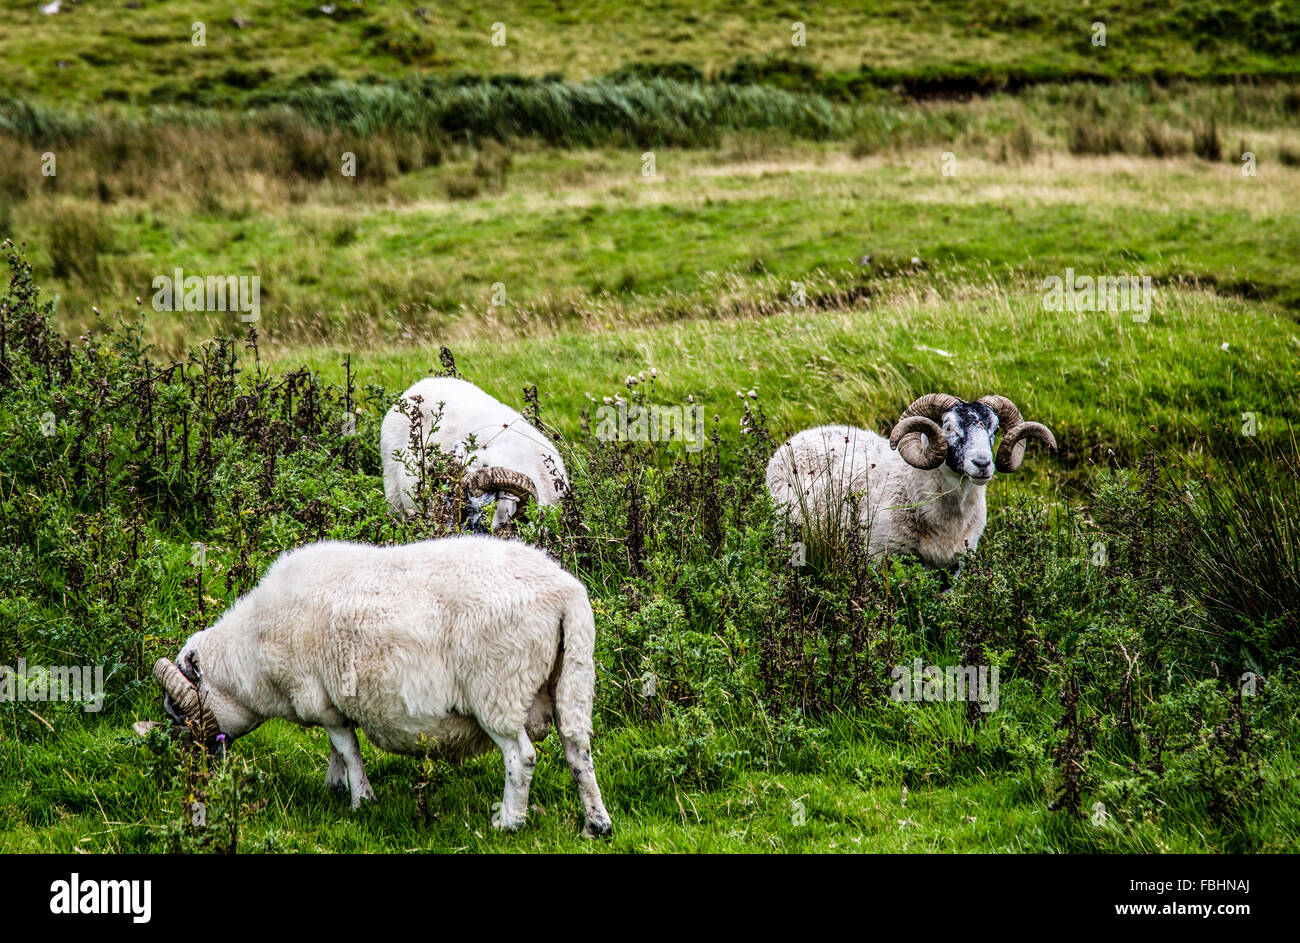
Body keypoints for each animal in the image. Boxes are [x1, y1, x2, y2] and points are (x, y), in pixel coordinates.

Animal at [151, 535, 612, 837]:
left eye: (179, 709)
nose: (191, 767)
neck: (250, 656)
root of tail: (565, 593)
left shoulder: (320, 700)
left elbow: (347, 748)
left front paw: (361, 800)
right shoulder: (333, 701)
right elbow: (337, 749)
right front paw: (334, 785)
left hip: (499, 687)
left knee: (522, 756)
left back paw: (509, 822)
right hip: (572, 676)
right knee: (578, 749)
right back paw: (596, 825)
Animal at [766, 394, 1056, 574]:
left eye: (994, 430)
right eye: (948, 427)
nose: (983, 463)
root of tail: (804, 434)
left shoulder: (953, 567)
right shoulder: (877, 556)